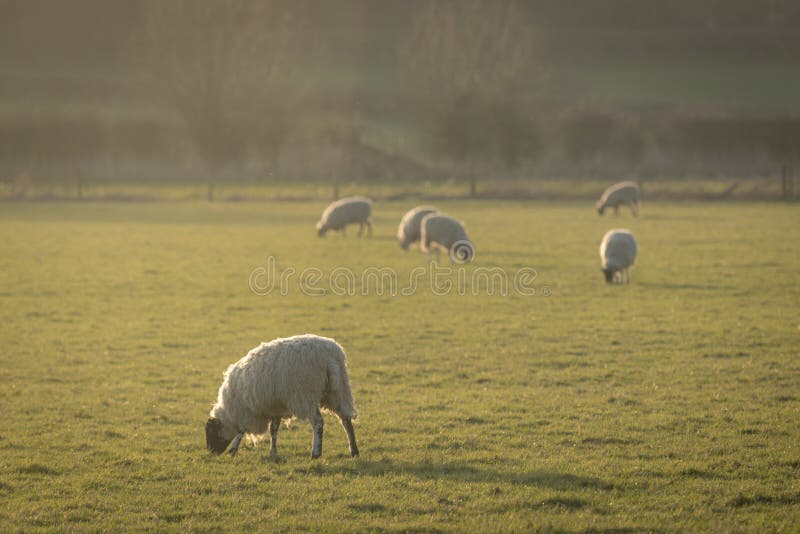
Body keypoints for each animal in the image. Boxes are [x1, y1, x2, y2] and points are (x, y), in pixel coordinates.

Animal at [205, 334, 359, 460]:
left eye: (211, 431)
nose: (211, 452)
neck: (230, 411)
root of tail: (330, 357)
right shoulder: (275, 407)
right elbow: (274, 429)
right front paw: (273, 452)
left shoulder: (247, 410)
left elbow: (241, 431)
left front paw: (233, 449)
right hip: (339, 391)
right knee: (346, 420)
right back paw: (354, 451)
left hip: (305, 395)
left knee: (318, 423)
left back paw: (315, 453)